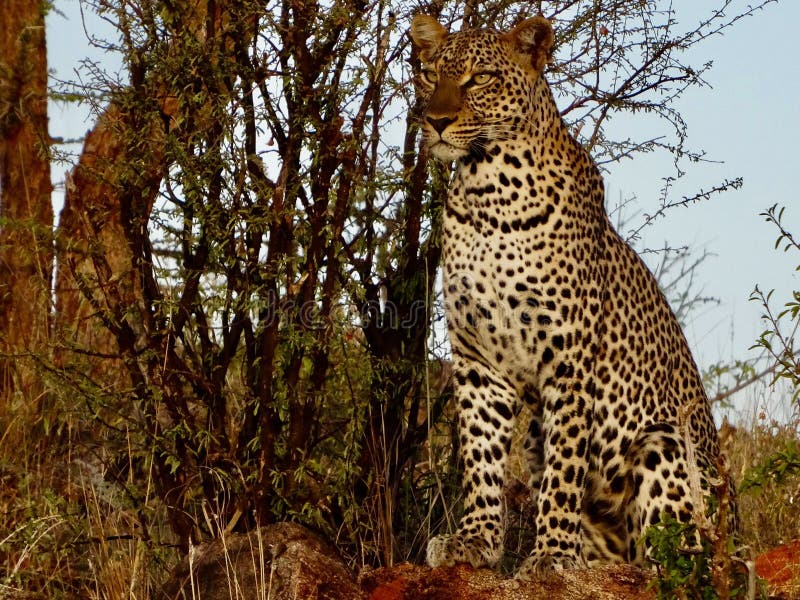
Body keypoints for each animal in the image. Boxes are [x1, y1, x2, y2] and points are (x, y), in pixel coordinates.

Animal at [409, 14, 735, 578]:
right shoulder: (478, 359)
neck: (489, 192)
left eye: (479, 79)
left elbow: (566, 466)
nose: (436, 121)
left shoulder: (569, 356)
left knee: (676, 563)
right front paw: (474, 542)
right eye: (430, 74)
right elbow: (480, 459)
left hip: (666, 444)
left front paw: (552, 555)